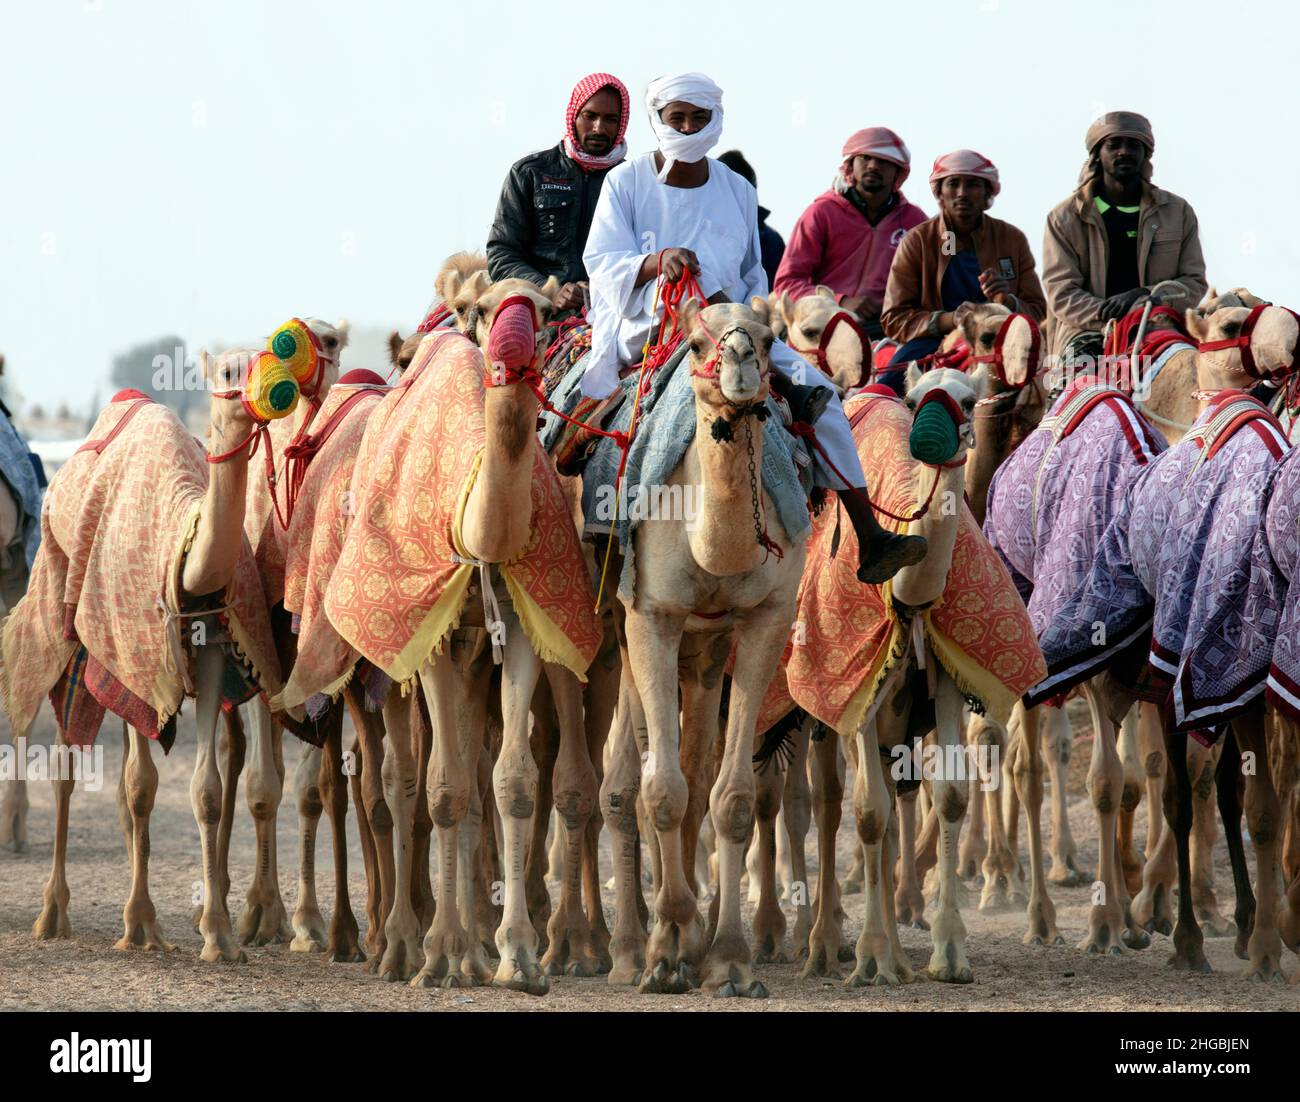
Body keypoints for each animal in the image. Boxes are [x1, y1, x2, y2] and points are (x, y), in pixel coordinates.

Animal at [0, 347, 290, 962]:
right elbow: (140, 785)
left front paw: (218, 934)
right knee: (66, 763)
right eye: (227, 371)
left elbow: (204, 791)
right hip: (69, 623)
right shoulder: (132, 653)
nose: (276, 391)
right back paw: (52, 913)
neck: (183, 558)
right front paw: (138, 924)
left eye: (268, 353)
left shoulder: (211, 649)